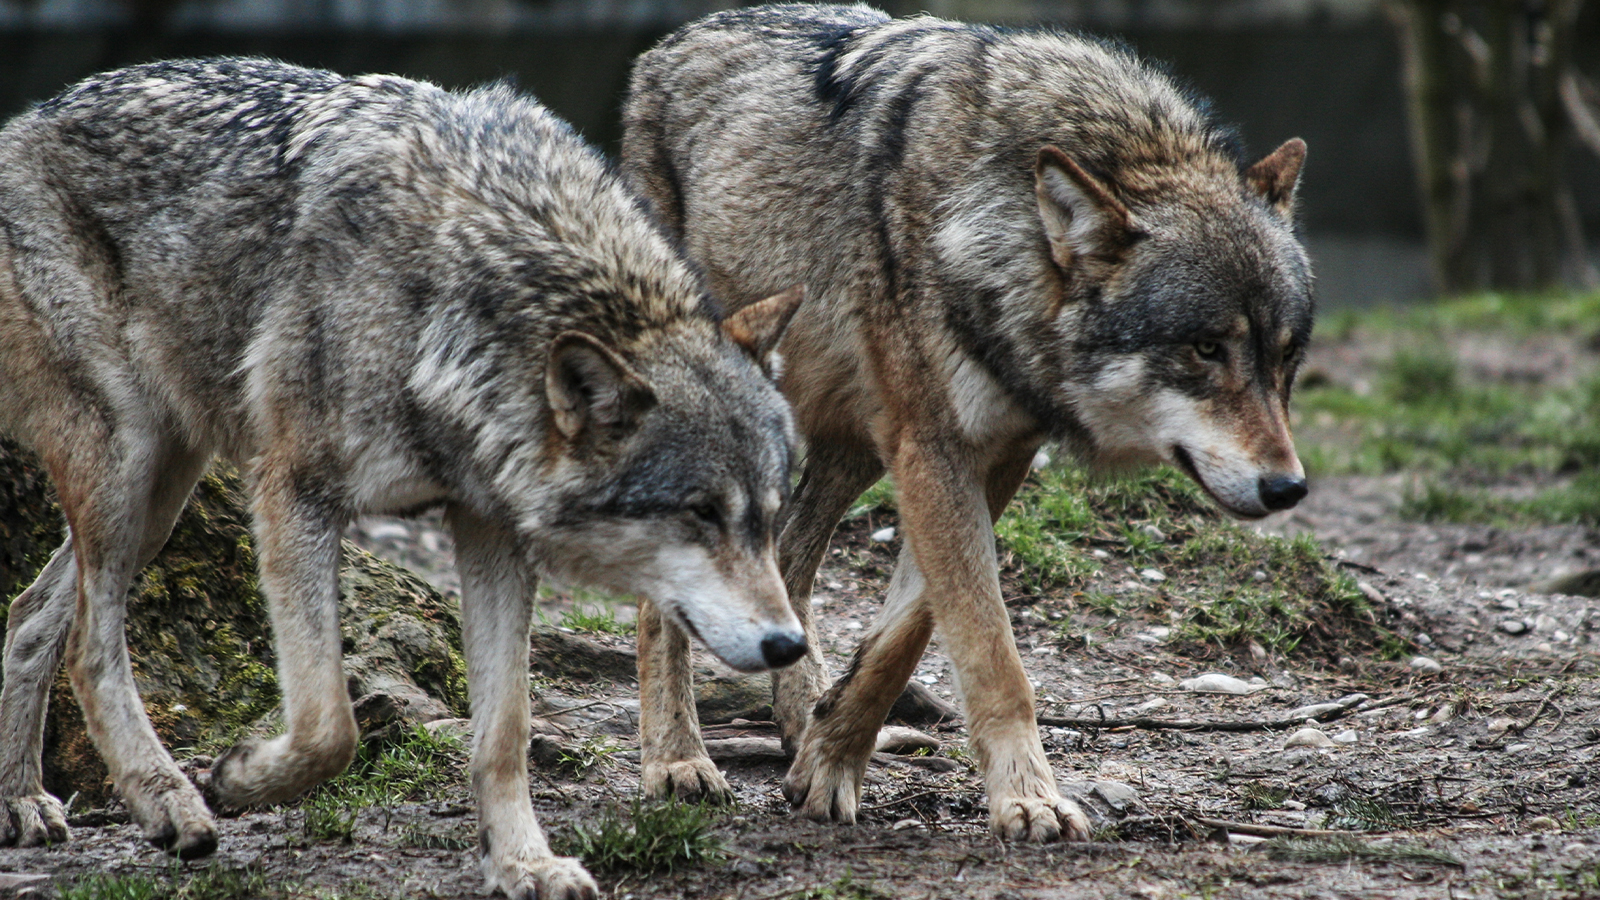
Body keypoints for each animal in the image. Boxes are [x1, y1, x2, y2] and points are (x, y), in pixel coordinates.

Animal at [0, 58, 807, 900]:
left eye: (769, 516)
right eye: (701, 512)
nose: (790, 644)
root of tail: (24, 122)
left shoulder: (491, 530)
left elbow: (505, 731)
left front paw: (524, 863)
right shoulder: (292, 490)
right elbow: (331, 725)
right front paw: (241, 776)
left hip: (163, 493)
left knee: (32, 615)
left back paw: (25, 802)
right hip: (128, 468)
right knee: (90, 644)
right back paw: (168, 800)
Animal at [622, 4, 1312, 840]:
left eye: (1286, 358)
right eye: (1206, 348)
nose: (1288, 488)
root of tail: (674, 41)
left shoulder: (994, 454)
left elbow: (907, 634)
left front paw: (827, 756)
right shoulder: (933, 450)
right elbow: (991, 653)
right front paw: (1028, 797)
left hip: (852, 443)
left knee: (787, 561)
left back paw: (792, 717)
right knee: (666, 599)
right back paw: (675, 759)